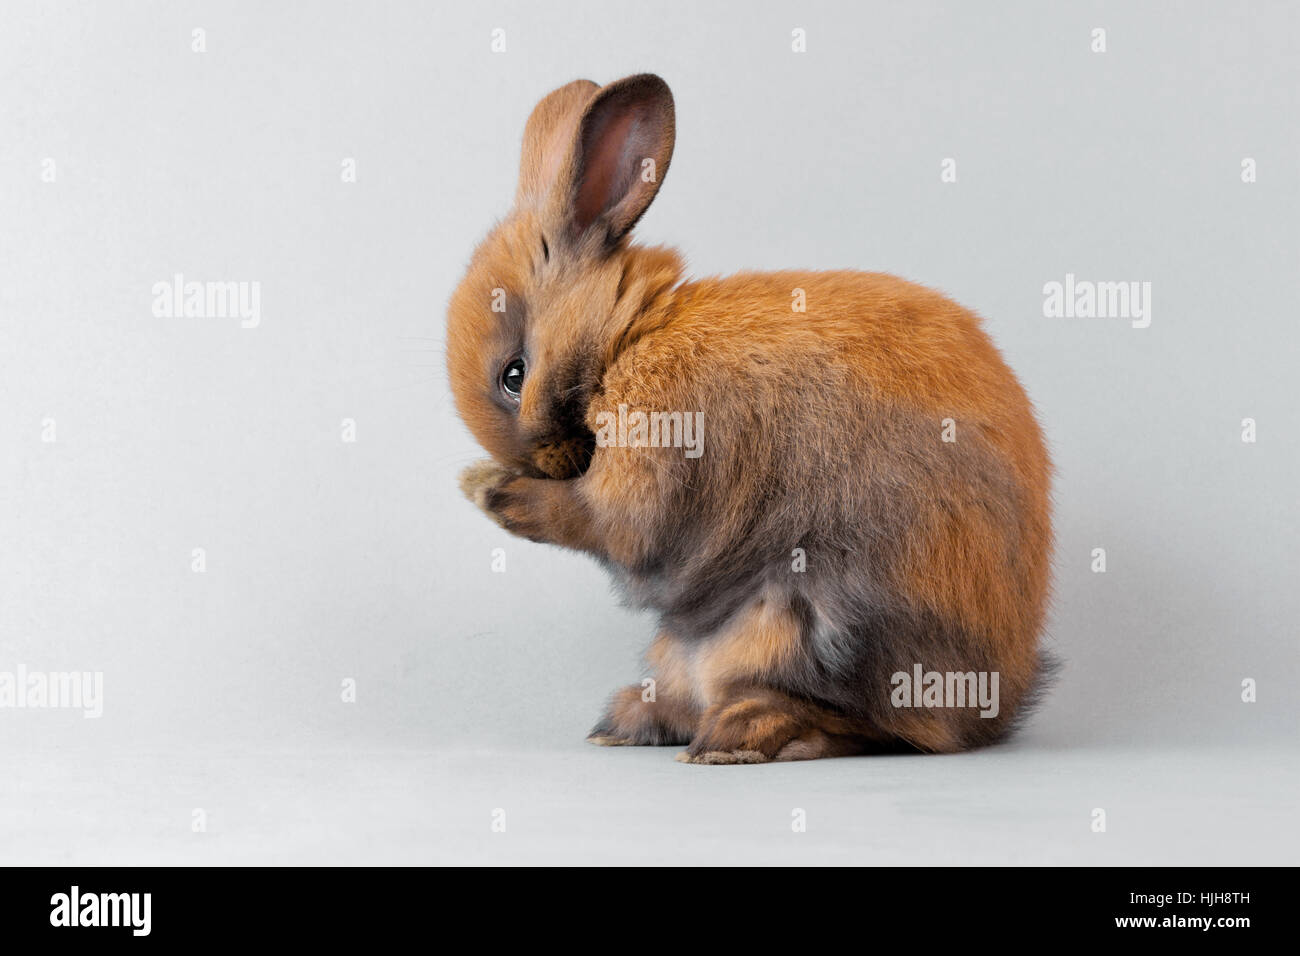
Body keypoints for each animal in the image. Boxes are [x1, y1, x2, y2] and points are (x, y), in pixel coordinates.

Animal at [448, 73, 1054, 764]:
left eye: (513, 375)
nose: (537, 461)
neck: (628, 339)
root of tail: (994, 705)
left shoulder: (658, 459)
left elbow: (600, 520)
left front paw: (490, 490)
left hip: (813, 625)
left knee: (861, 724)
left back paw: (736, 735)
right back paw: (632, 722)